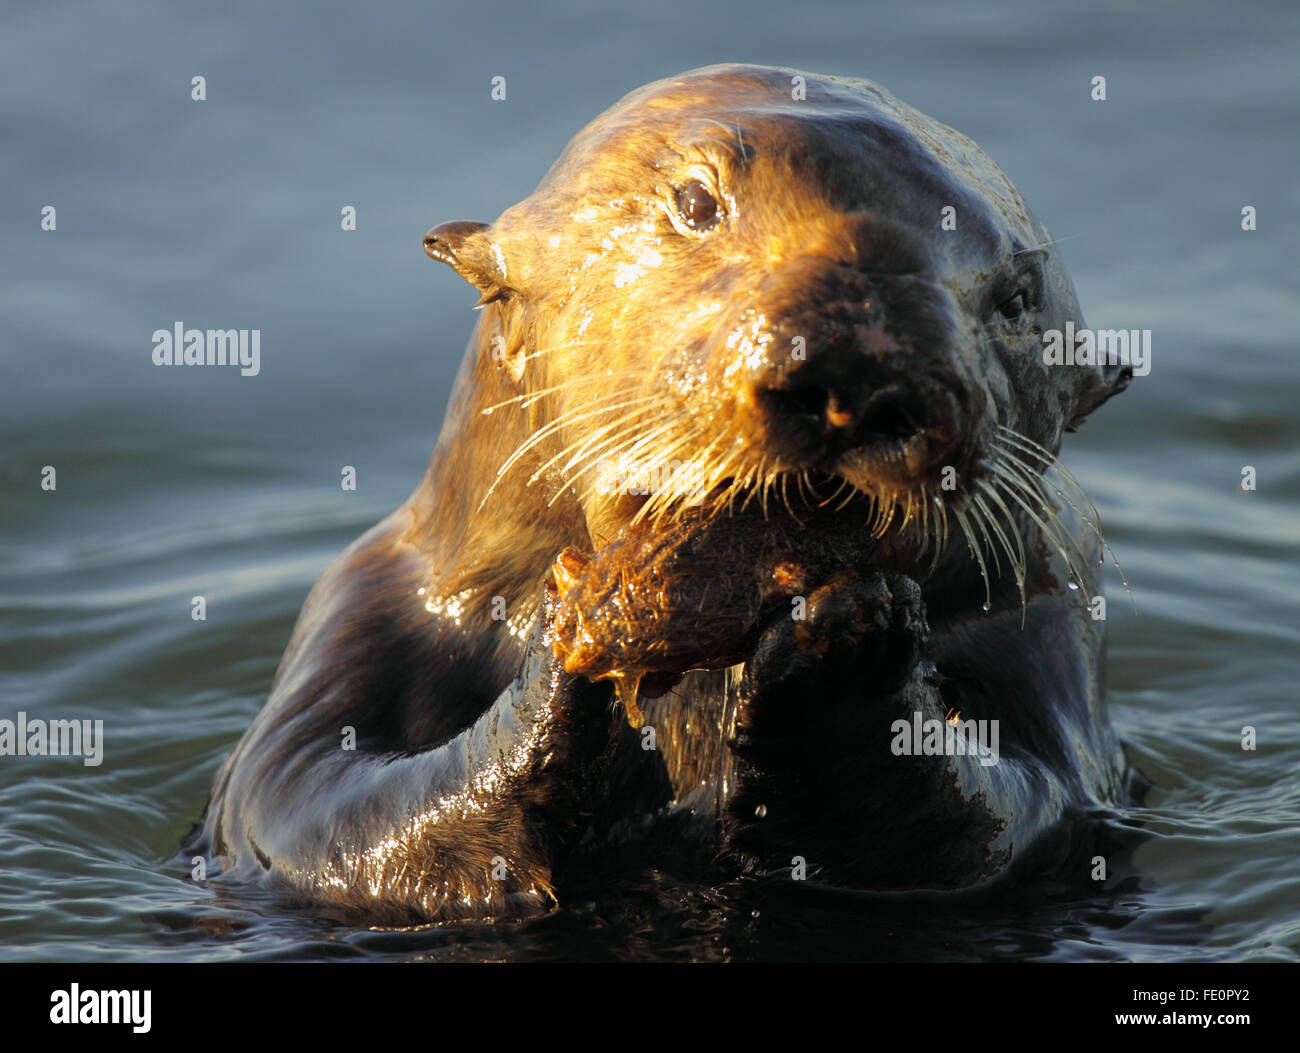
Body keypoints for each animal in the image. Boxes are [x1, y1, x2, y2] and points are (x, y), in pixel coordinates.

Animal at [191, 64, 1135, 924]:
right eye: (693, 200)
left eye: (1016, 299)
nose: (862, 368)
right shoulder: (363, 607)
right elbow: (306, 806)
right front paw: (565, 657)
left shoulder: (1052, 610)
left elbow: (1018, 810)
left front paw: (844, 642)